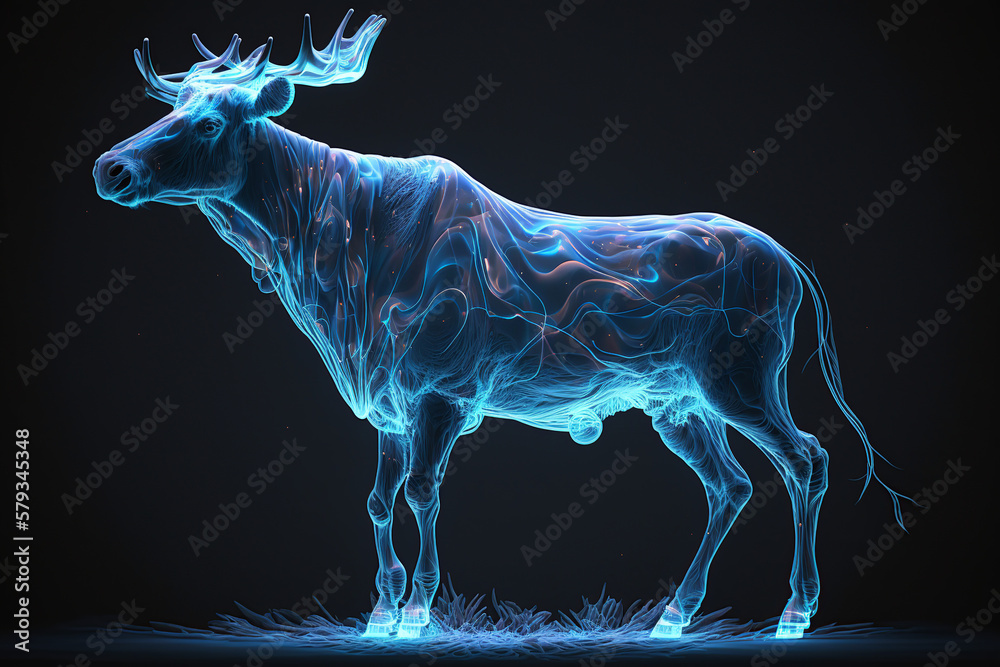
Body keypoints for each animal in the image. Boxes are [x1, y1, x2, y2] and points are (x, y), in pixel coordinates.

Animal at [93, 10, 905, 639]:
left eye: (206, 120)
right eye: (168, 109)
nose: (111, 168)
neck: (335, 279)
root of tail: (791, 263)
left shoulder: (441, 388)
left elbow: (423, 491)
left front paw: (417, 610)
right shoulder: (386, 403)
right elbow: (378, 499)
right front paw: (379, 611)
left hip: (742, 374)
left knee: (806, 459)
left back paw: (795, 610)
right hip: (677, 400)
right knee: (729, 483)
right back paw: (676, 612)